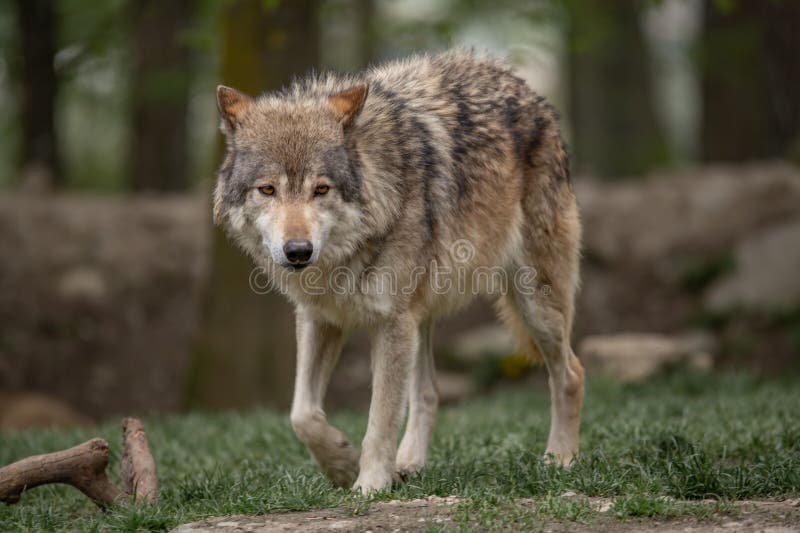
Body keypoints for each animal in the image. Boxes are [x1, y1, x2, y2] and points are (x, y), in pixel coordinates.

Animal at [213, 49, 584, 494]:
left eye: (321, 189)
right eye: (267, 190)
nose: (298, 251)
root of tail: (524, 86)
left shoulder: (390, 322)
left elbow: (380, 418)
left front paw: (370, 484)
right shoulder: (319, 318)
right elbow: (302, 414)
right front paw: (342, 464)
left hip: (533, 305)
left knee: (571, 373)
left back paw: (561, 458)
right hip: (421, 319)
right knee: (429, 393)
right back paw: (409, 464)